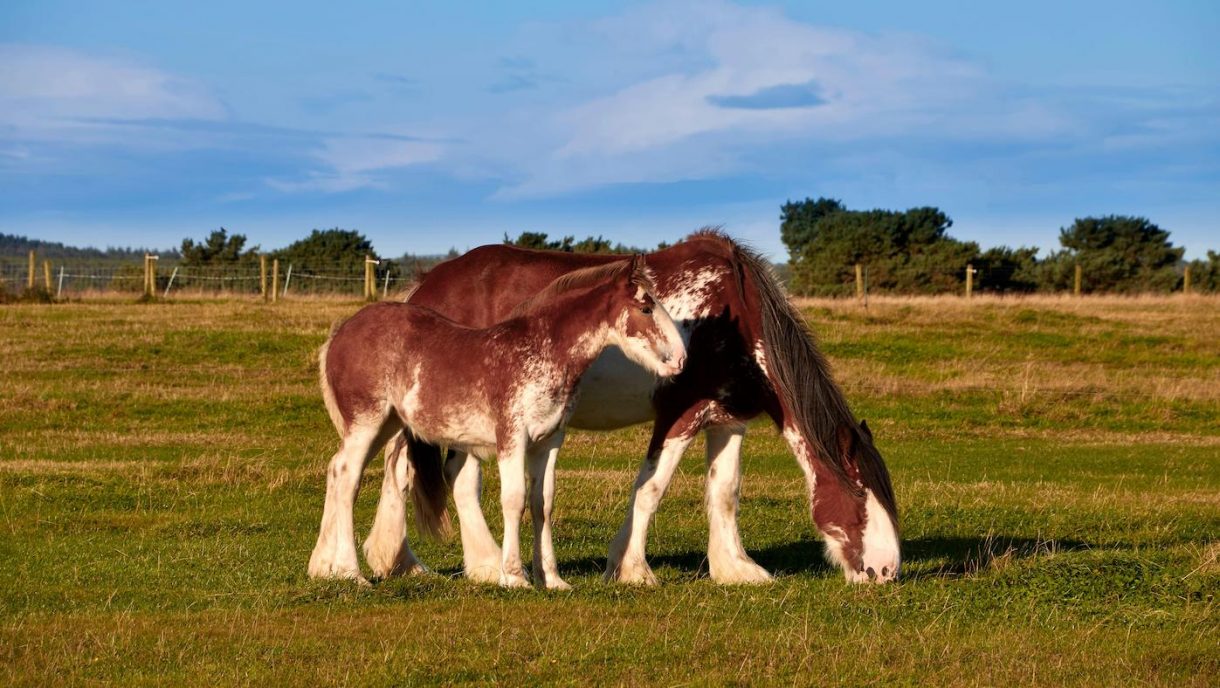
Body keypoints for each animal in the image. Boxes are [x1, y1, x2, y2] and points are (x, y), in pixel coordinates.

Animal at [307, 255, 686, 588]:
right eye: (646, 308)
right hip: (366, 422)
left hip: (386, 423)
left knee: (336, 470)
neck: (540, 351)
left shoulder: (548, 443)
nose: (680, 359)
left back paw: (328, 569)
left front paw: (552, 579)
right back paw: (351, 572)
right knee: (347, 477)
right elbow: (514, 500)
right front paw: (514, 576)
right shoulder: (511, 438)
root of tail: (340, 333)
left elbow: (542, 503)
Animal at [387, 229, 902, 585]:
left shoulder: (728, 419)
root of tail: (423, 285)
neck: (735, 316)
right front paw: (631, 568)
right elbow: (651, 488)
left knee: (452, 477)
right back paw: (412, 564)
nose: (885, 572)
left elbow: (725, 491)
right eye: (861, 495)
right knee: (405, 472)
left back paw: (473, 563)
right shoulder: (680, 415)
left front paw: (735, 568)